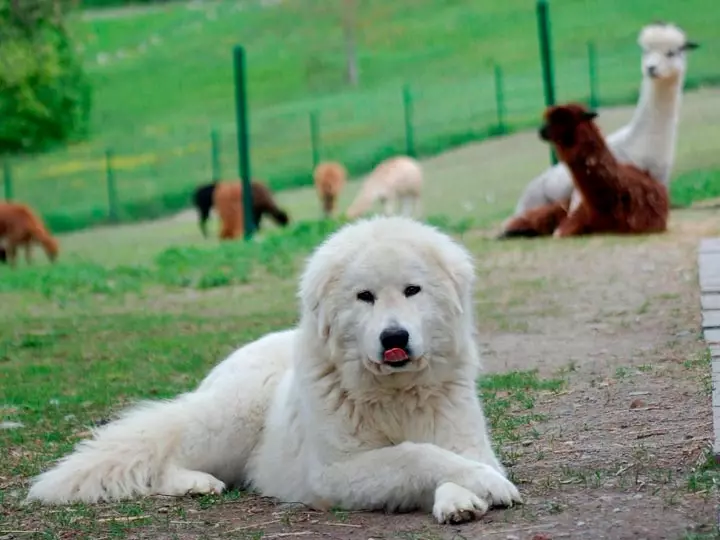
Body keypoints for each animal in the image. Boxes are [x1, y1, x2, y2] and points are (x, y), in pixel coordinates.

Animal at [26, 215, 516, 524]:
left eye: (412, 290)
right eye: (365, 297)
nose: (393, 338)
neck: (393, 392)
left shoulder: (463, 440)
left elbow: (448, 458)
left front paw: (463, 495)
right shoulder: (336, 473)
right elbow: (417, 455)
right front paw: (485, 485)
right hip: (231, 421)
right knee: (168, 457)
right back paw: (196, 483)